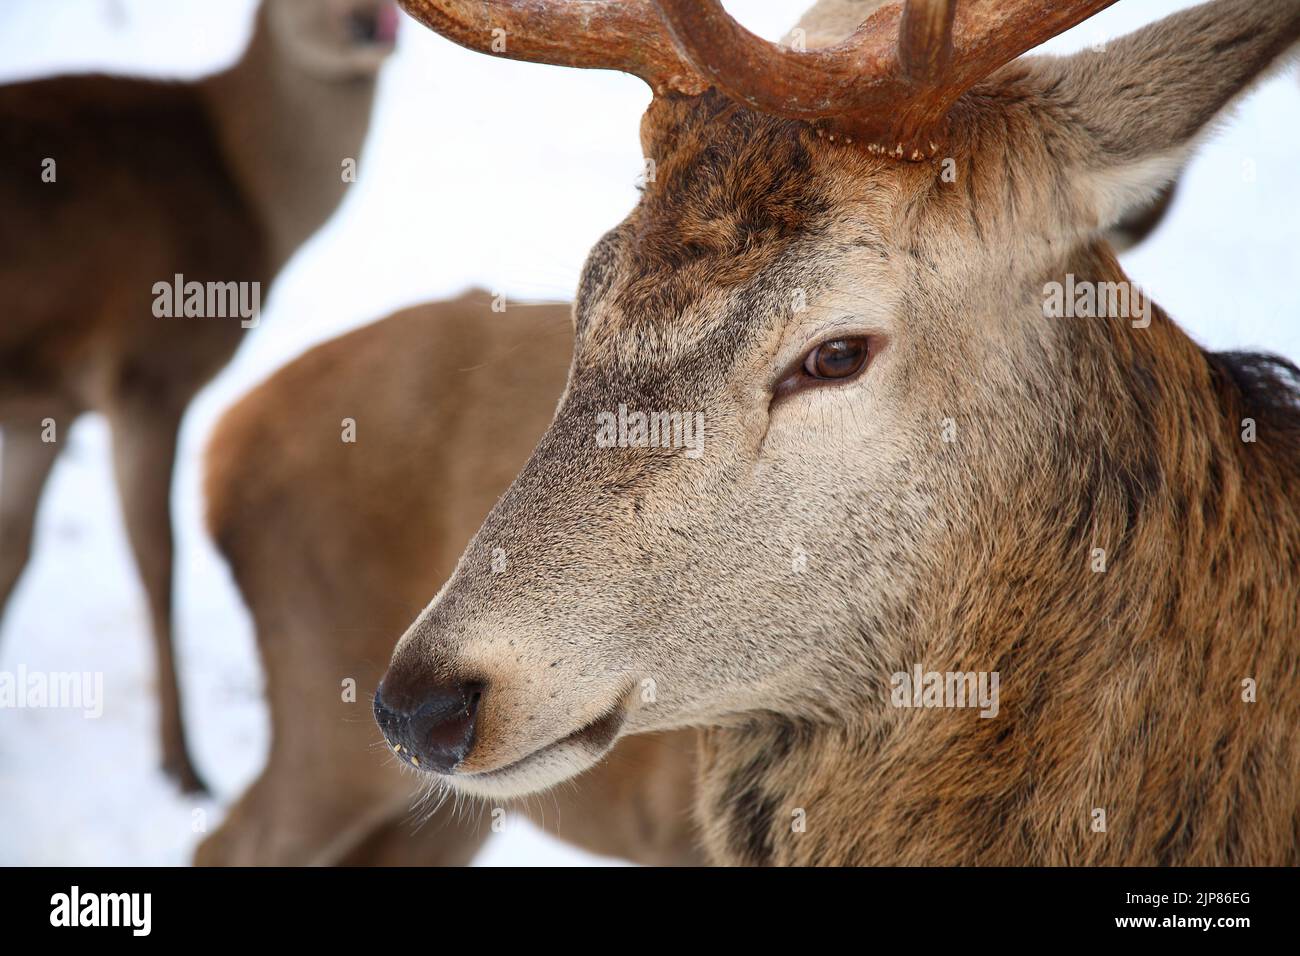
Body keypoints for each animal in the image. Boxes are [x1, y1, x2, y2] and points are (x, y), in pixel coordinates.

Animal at [0, 0, 399, 793]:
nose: (372, 27)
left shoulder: (42, 406)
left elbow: (13, 551)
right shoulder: (147, 368)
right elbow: (158, 558)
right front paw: (182, 764)